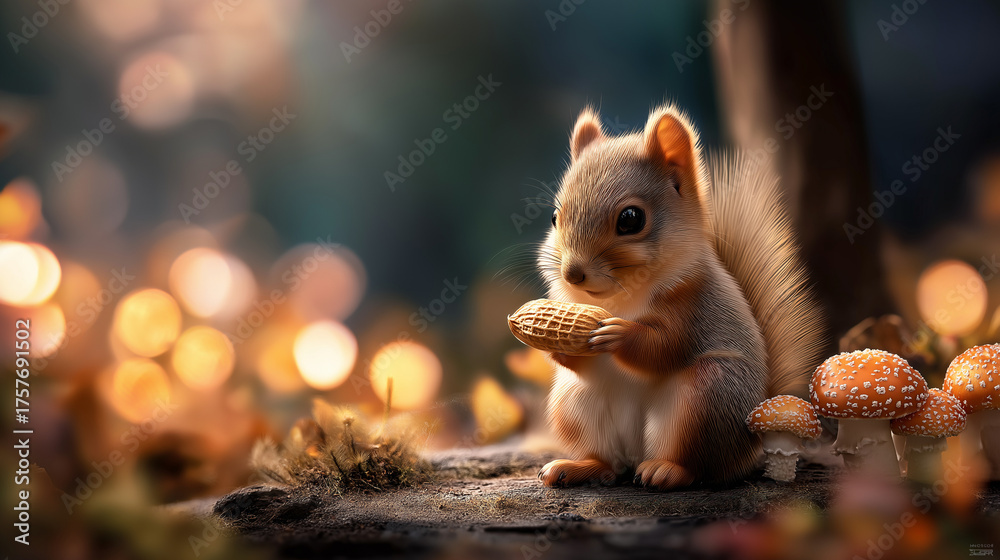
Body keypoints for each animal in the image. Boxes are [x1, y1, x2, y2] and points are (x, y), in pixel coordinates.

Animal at [536, 104, 825, 489]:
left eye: (631, 219)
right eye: (555, 216)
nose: (573, 274)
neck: (617, 298)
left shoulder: (692, 305)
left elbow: (665, 347)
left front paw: (619, 335)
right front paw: (555, 343)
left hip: (706, 397)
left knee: (703, 469)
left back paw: (666, 471)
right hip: (573, 403)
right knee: (611, 465)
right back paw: (578, 467)